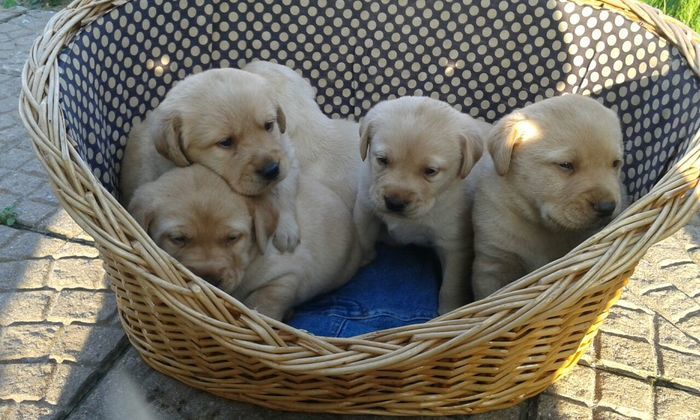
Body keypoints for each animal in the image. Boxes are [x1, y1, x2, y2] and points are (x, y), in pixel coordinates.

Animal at [121, 69, 300, 253]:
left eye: (269, 125)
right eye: (225, 142)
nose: (272, 170)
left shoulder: (287, 155)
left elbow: (284, 189)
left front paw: (286, 229)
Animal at [356, 97, 486, 314]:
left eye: (430, 171)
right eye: (382, 160)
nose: (395, 202)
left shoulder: (455, 246)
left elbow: (451, 285)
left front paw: (449, 311)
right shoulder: (365, 207)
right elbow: (364, 238)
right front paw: (362, 259)